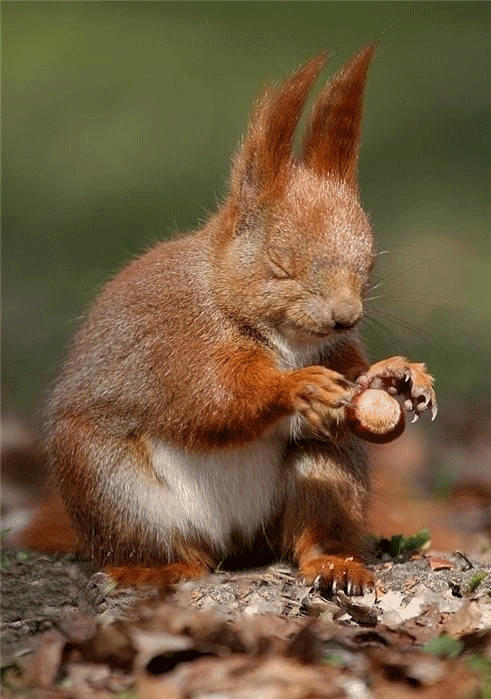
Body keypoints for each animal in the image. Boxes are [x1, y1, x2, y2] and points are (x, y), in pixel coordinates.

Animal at [20, 44, 436, 595]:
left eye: (369, 262)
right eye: (280, 263)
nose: (346, 316)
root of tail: (235, 541)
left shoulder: (336, 349)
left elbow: (354, 376)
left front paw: (399, 374)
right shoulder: (178, 340)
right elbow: (212, 399)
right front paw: (296, 387)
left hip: (325, 471)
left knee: (311, 529)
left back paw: (334, 563)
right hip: (110, 484)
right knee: (172, 550)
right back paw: (153, 568)